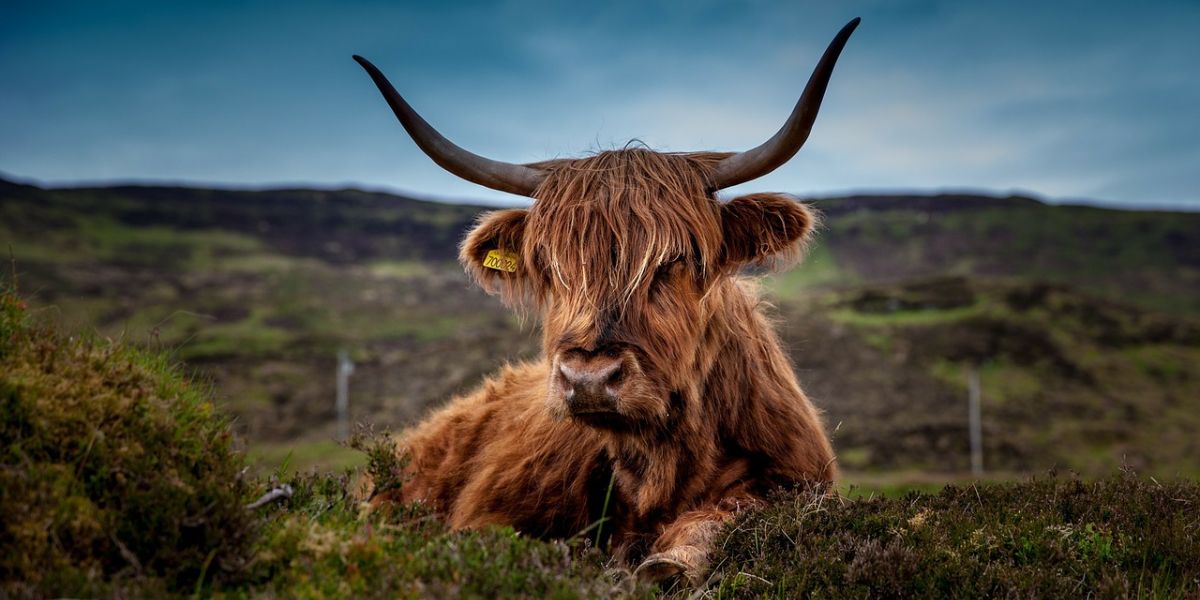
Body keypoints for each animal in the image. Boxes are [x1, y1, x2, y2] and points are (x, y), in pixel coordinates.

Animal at [352, 17, 860, 586]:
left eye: (676, 259)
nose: (589, 378)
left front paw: (669, 562)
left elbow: (727, 516)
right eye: (550, 266)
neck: (659, 466)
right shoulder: (489, 517)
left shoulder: (796, 482)